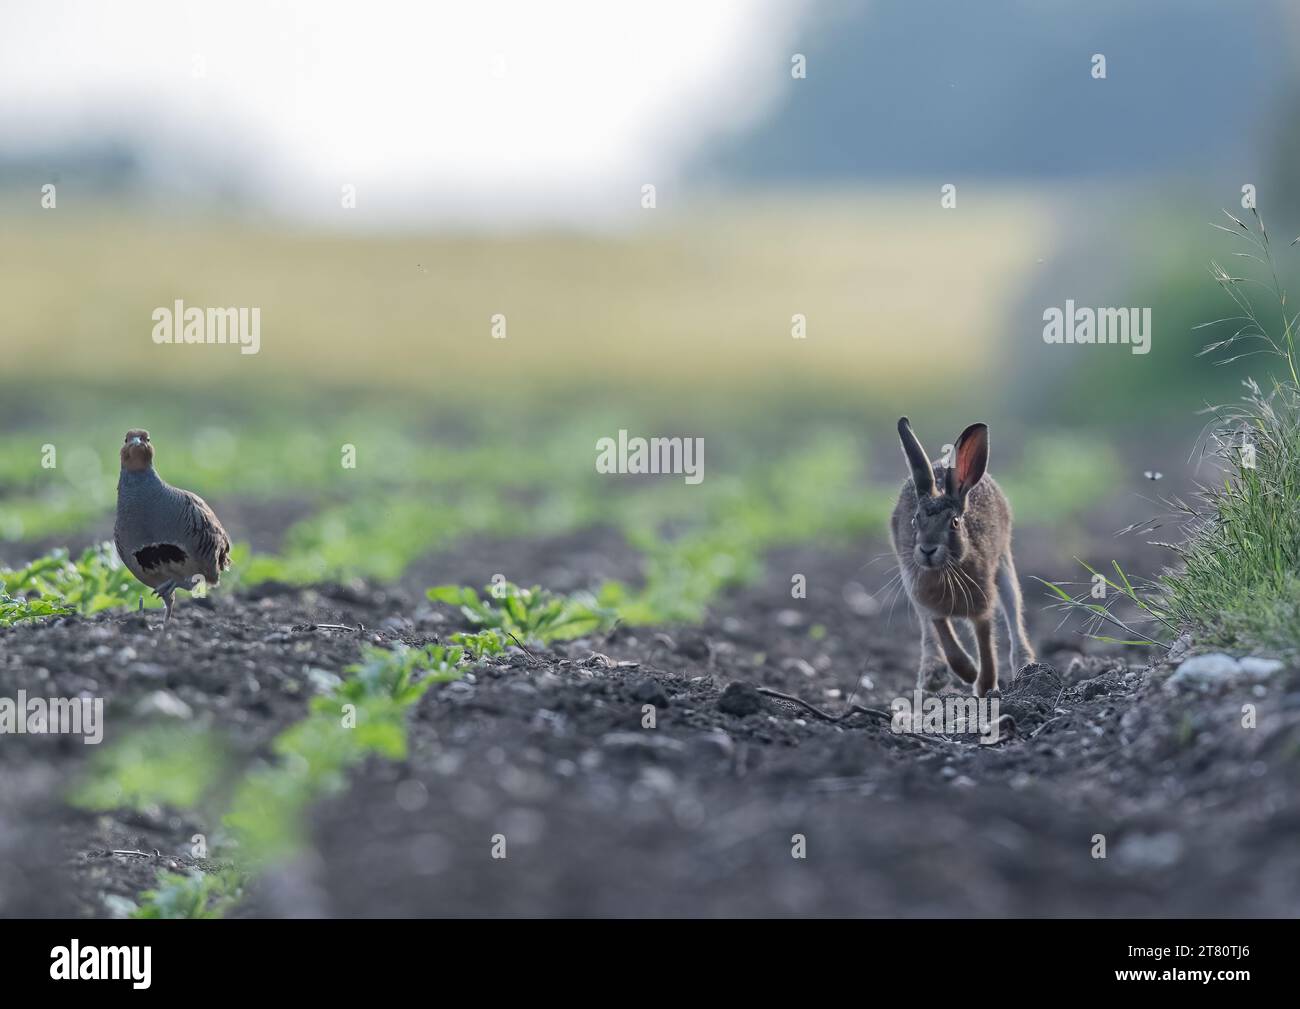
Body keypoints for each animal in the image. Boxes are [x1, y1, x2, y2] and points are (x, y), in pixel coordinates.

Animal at [889, 417, 1035, 697]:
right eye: (915, 521)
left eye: (954, 523)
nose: (927, 550)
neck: (947, 570)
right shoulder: (930, 604)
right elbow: (945, 637)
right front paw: (968, 672)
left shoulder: (982, 604)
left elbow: (985, 641)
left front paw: (985, 685)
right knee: (928, 634)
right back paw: (933, 675)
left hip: (1004, 567)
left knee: (1013, 613)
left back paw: (1026, 667)